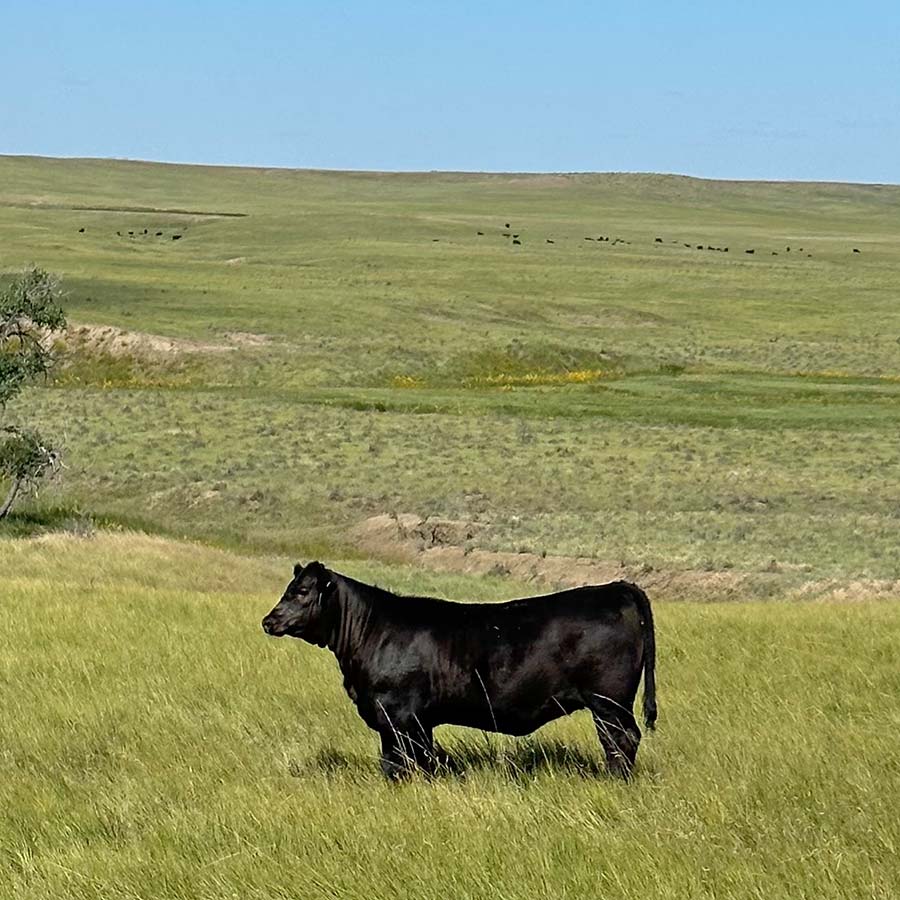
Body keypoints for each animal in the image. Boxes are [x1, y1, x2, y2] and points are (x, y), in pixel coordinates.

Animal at [262, 562, 657, 781]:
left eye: (302, 591)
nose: (268, 621)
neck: (373, 630)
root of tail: (617, 588)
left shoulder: (399, 716)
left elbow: (402, 763)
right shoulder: (406, 720)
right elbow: (408, 761)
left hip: (608, 702)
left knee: (621, 741)